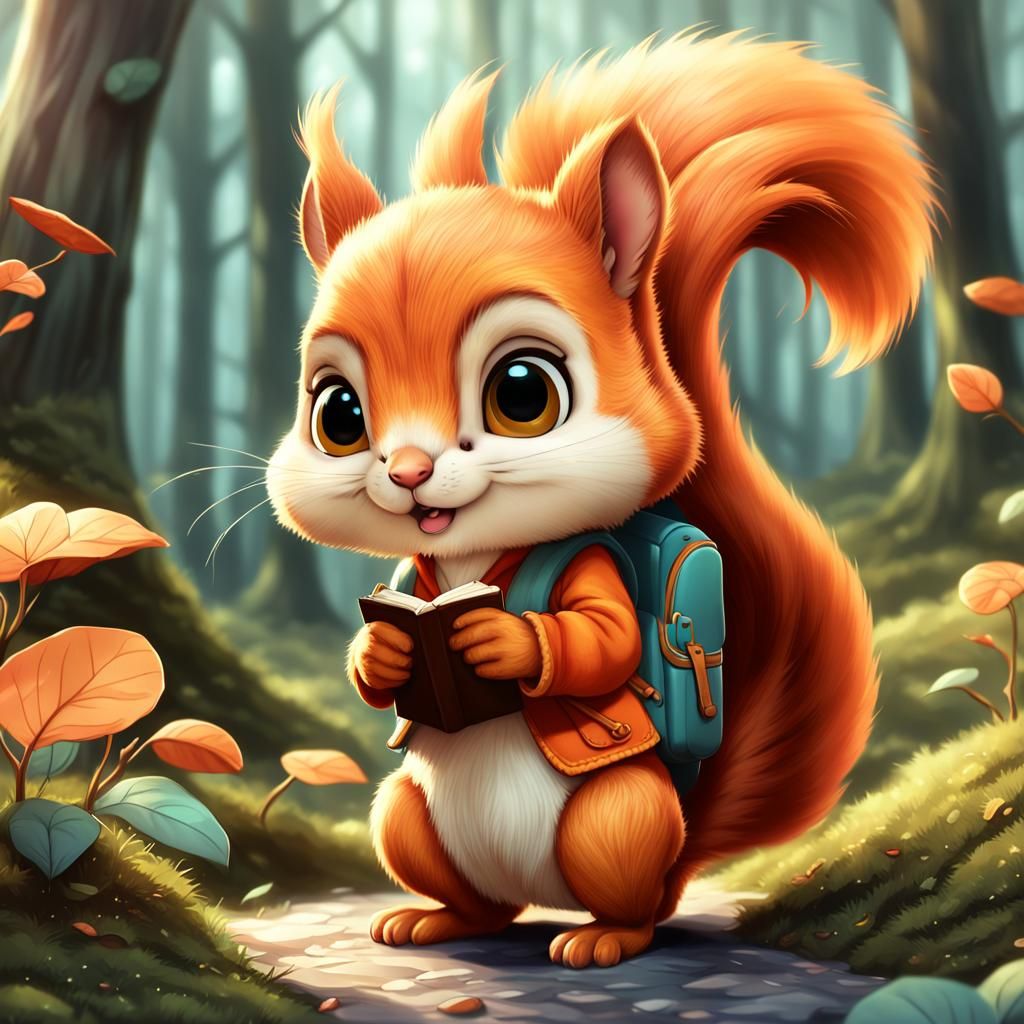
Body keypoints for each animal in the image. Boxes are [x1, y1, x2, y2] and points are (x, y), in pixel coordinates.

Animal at [267, 33, 935, 968]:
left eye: (521, 392)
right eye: (338, 414)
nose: (405, 472)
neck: (472, 558)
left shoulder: (591, 563)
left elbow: (604, 640)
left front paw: (500, 638)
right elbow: (380, 654)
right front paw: (384, 652)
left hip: (619, 818)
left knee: (634, 899)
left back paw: (604, 936)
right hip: (404, 814)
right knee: (473, 899)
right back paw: (432, 919)